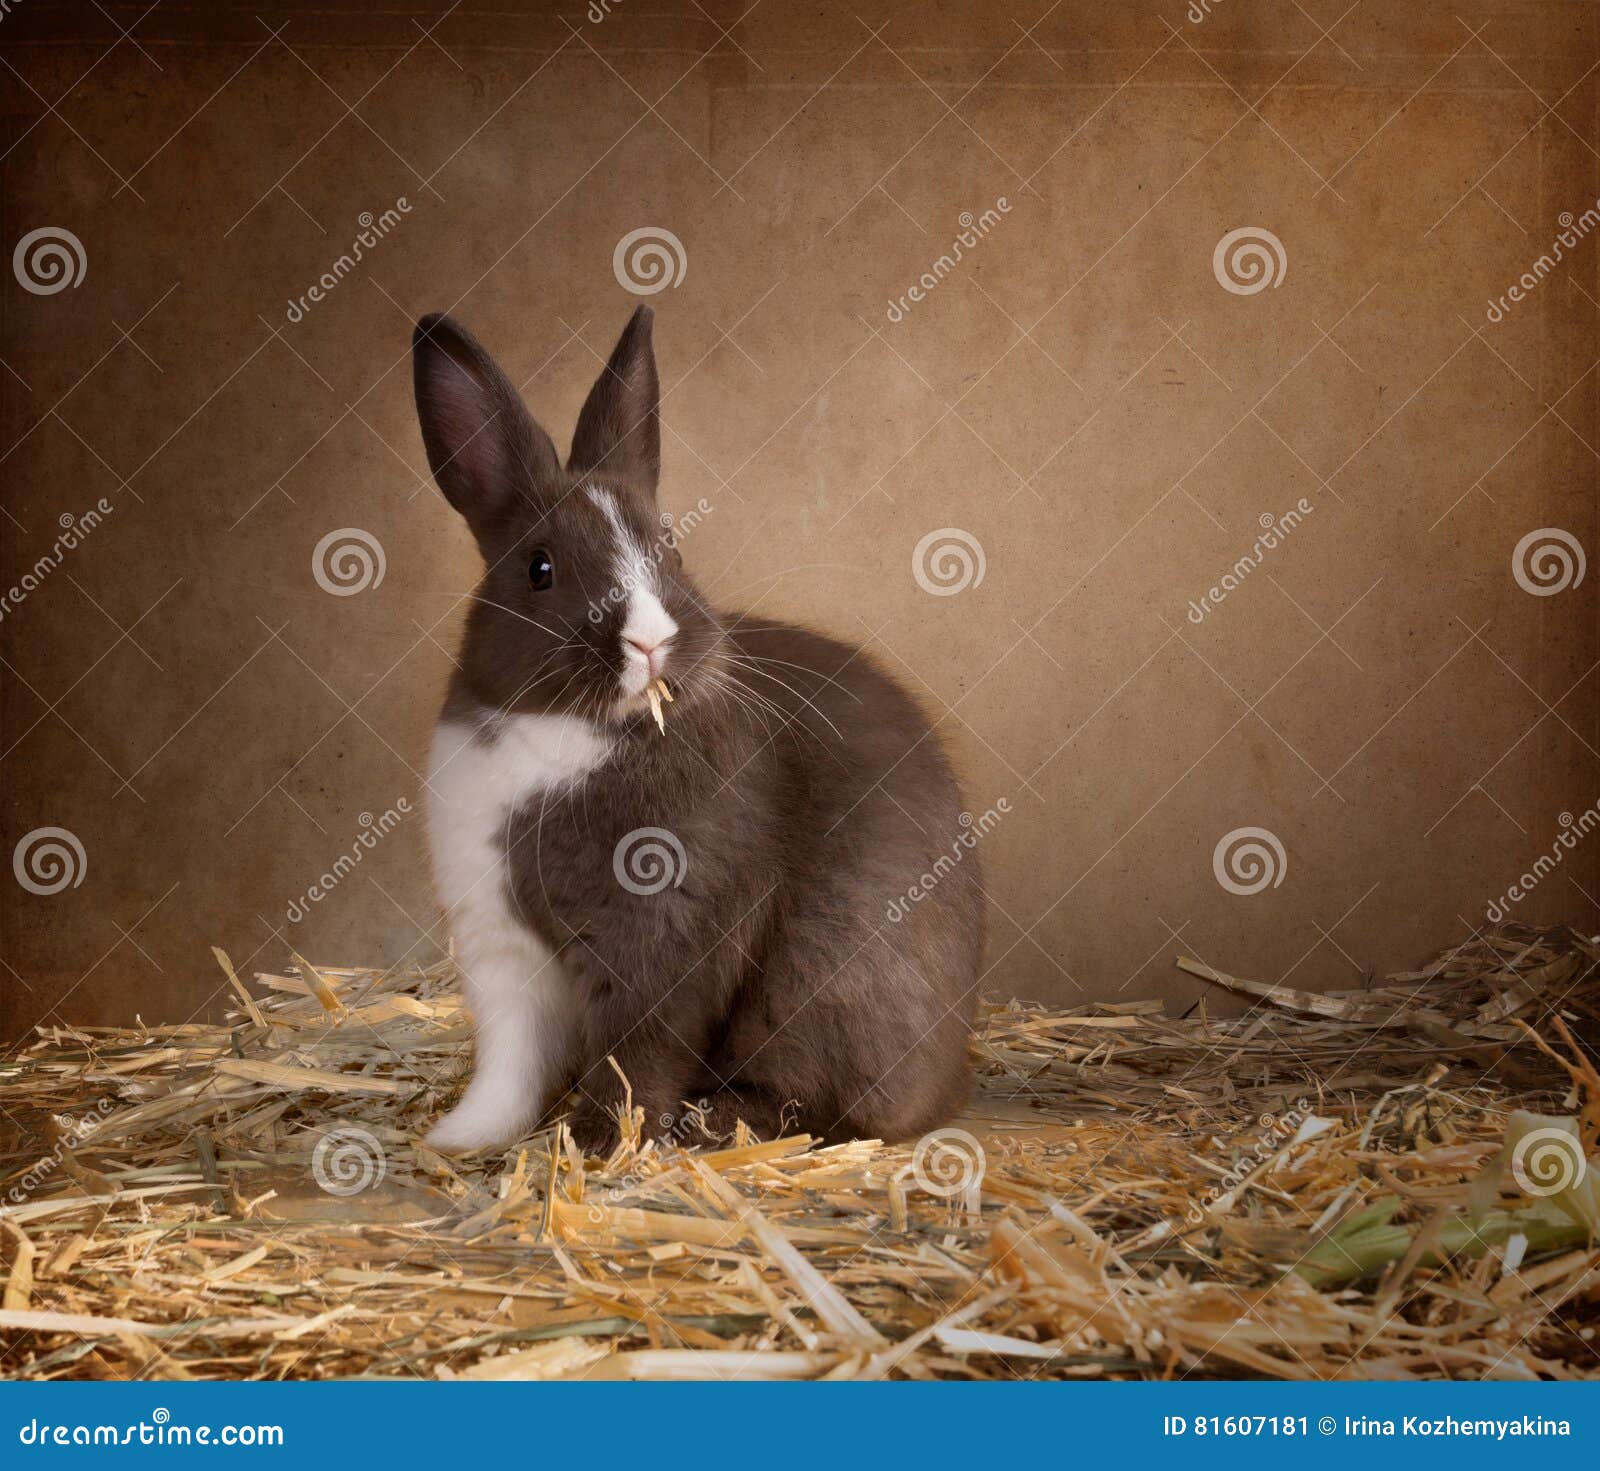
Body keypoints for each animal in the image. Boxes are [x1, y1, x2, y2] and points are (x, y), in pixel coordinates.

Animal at [413, 304, 983, 1154]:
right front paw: (460, 1137)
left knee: (827, 1105)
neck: (566, 732)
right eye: (539, 568)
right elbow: (509, 1066)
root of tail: (951, 1075)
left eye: (671, 548)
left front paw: (601, 1138)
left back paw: (715, 1119)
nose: (649, 640)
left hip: (824, 982)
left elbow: (640, 1051)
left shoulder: (667, 937)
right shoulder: (501, 948)